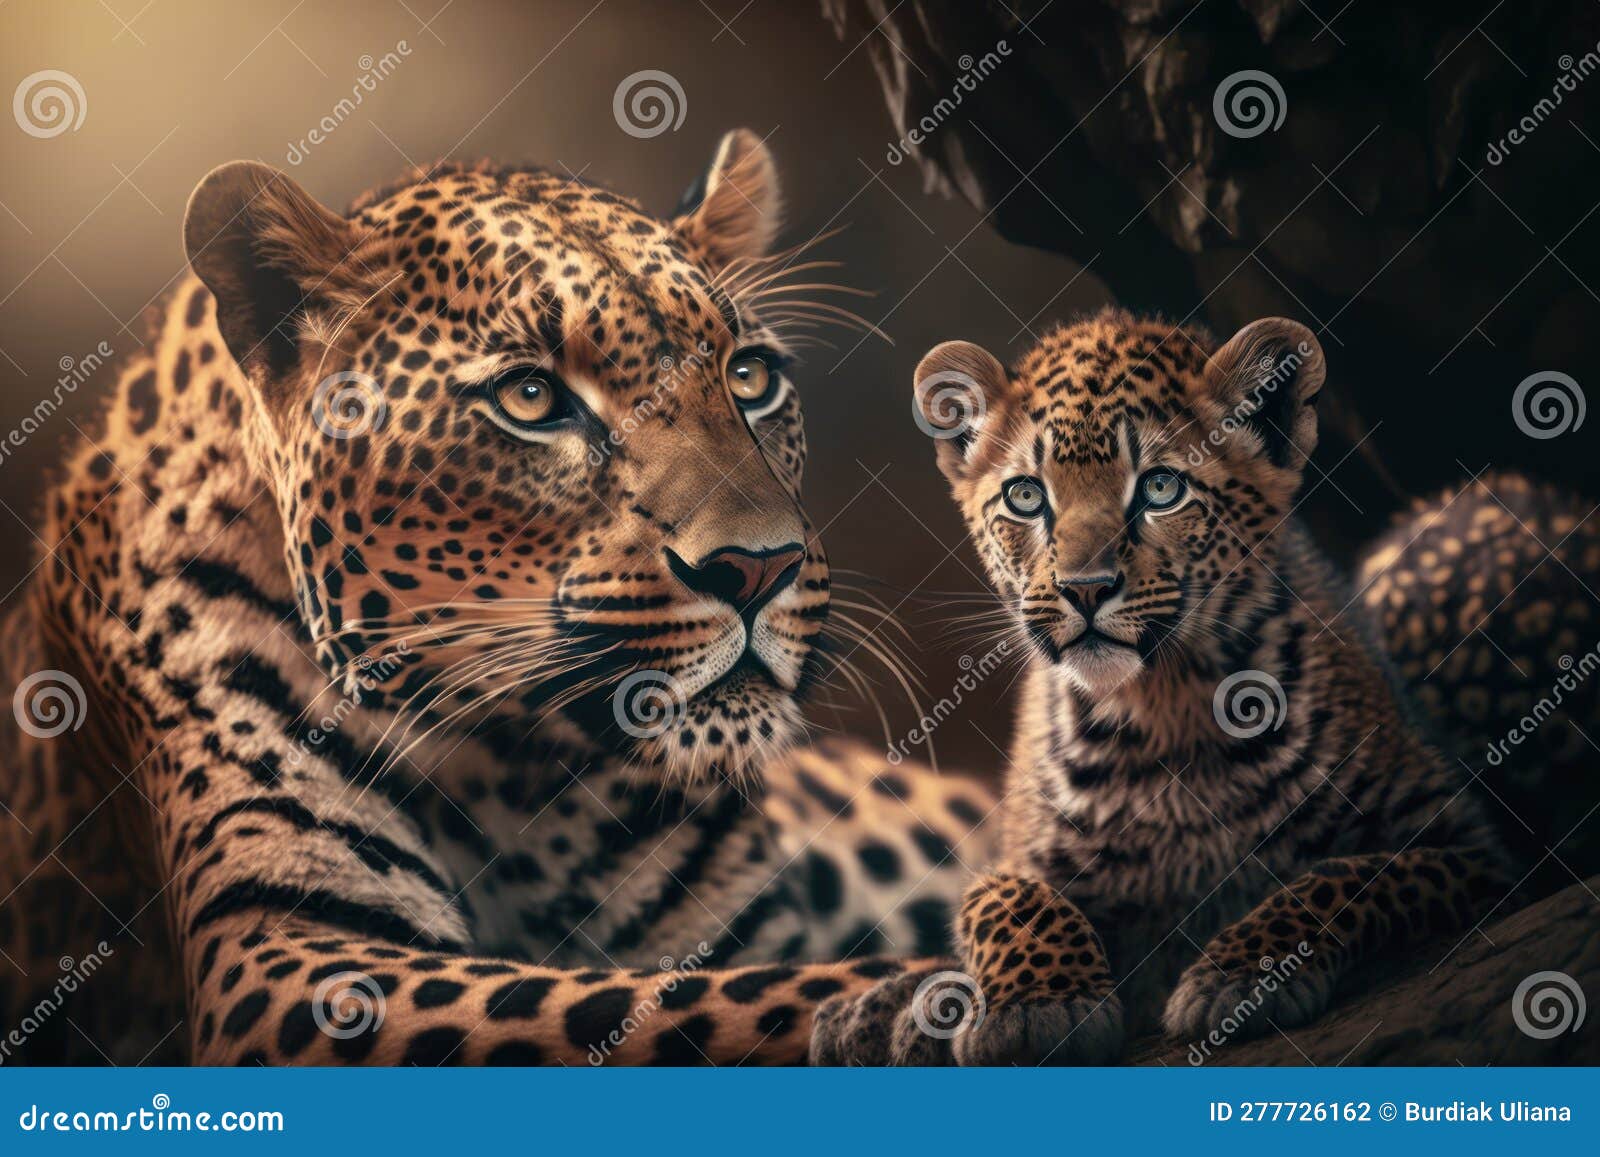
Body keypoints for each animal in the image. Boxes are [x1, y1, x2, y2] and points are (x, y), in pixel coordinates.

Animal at [0, 129, 1000, 1066]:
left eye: (749, 378)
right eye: (530, 396)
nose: (760, 568)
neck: (524, 783)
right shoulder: (297, 962)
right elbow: (682, 1002)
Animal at [812, 308, 1598, 1065]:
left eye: (1162, 487)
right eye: (1026, 496)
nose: (1084, 589)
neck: (1162, 707)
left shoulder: (1475, 856)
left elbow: (1347, 875)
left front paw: (1237, 974)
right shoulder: (1030, 860)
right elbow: (1000, 890)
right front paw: (1034, 1002)